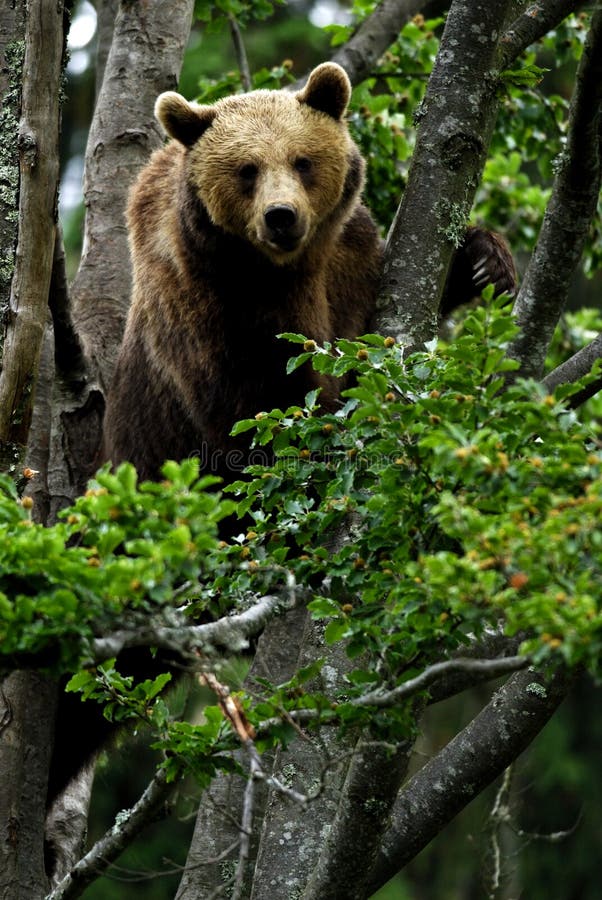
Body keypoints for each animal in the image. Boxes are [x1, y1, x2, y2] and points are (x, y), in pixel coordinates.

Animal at [102, 62, 516, 483]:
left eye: (302, 161)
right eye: (247, 170)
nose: (281, 215)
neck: (287, 266)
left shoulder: (348, 258)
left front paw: (484, 263)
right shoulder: (213, 306)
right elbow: (264, 406)